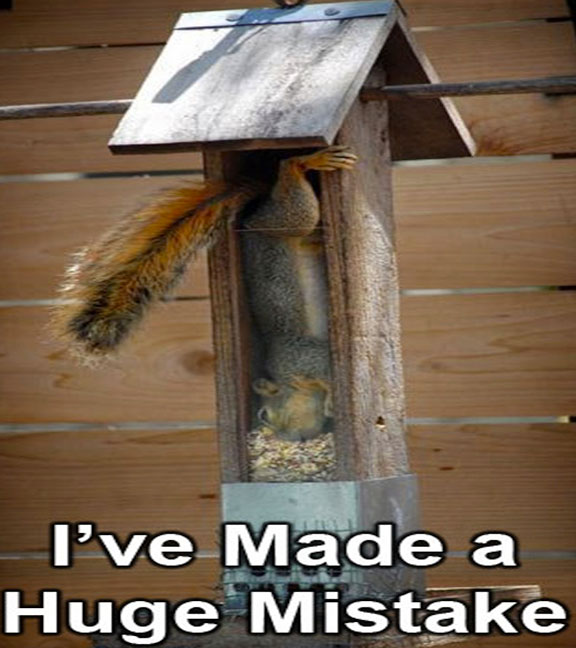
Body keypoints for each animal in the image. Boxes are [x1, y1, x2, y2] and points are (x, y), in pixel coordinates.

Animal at [52, 146, 358, 441]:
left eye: (264, 415)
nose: (288, 440)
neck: (288, 381)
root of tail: (252, 215)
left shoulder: (301, 357)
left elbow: (327, 368)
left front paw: (332, 400)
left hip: (282, 222)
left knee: (290, 183)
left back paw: (307, 160)